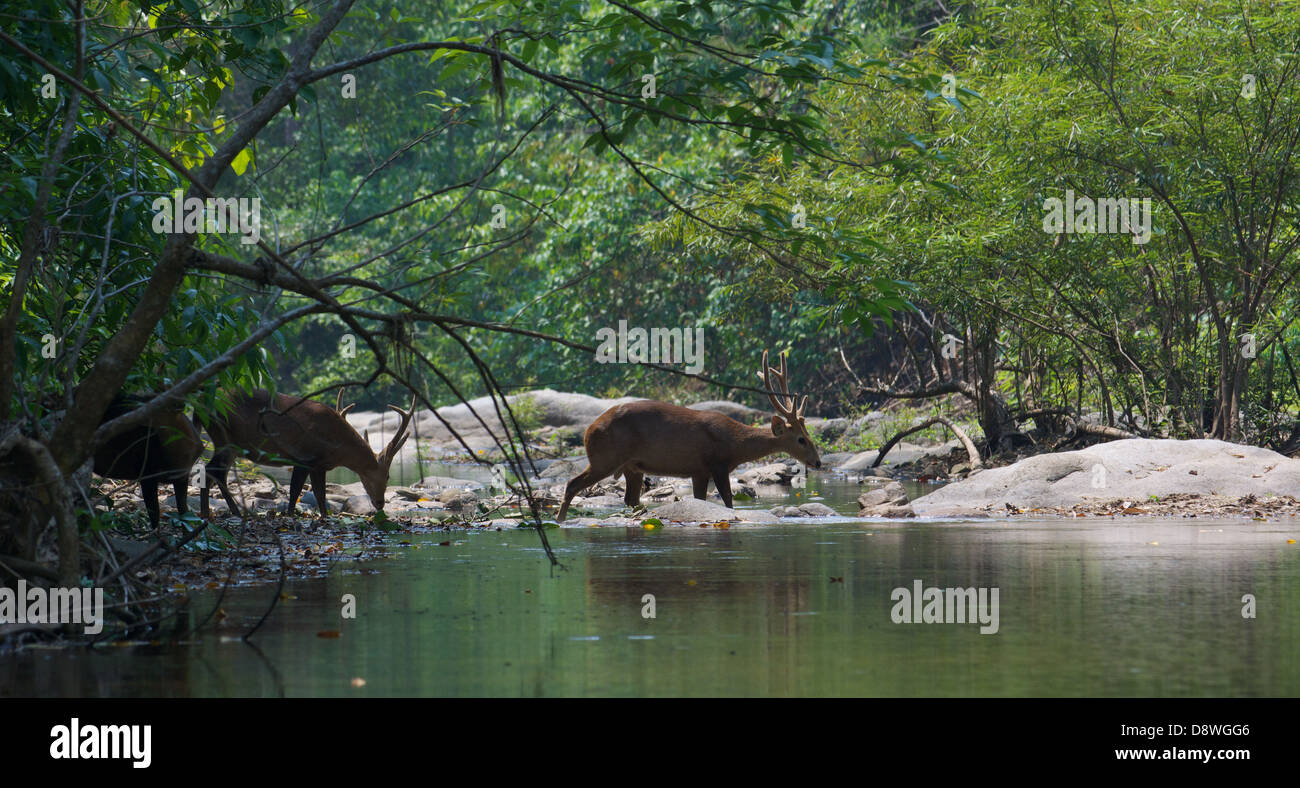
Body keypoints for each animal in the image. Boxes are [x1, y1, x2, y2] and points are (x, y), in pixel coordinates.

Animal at [198, 388, 416, 518]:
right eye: (387, 476)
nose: (380, 503)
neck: (336, 445)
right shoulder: (304, 456)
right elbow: (296, 491)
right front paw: (290, 516)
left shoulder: (318, 464)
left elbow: (320, 494)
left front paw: (324, 517)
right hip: (226, 437)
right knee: (213, 471)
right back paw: (230, 513)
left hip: (229, 443)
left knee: (214, 473)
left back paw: (211, 513)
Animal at [557, 350, 822, 522]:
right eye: (801, 439)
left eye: (808, 436)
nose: (818, 462)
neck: (735, 444)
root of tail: (588, 431)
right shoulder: (716, 463)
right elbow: (728, 501)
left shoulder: (698, 471)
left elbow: (701, 500)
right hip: (605, 457)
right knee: (572, 484)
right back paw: (559, 520)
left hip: (632, 466)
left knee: (630, 500)